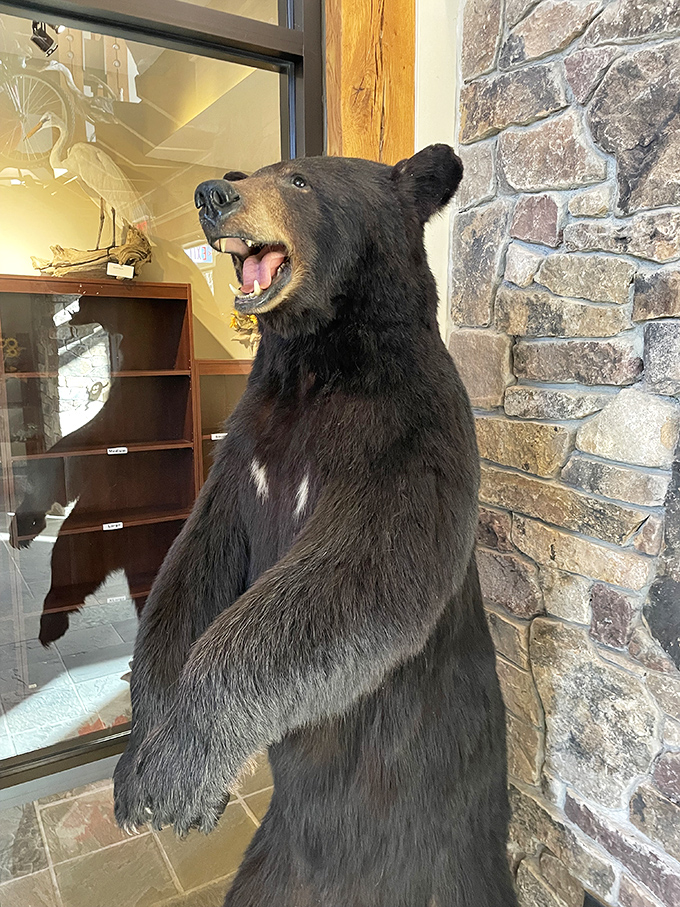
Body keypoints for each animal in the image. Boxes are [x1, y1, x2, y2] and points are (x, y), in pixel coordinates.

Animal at [113, 145, 517, 907]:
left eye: (299, 180)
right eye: (244, 175)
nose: (212, 195)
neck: (313, 356)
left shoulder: (404, 432)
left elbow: (358, 578)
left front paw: (175, 771)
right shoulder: (246, 452)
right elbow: (194, 563)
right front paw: (139, 762)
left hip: (446, 841)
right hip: (273, 864)